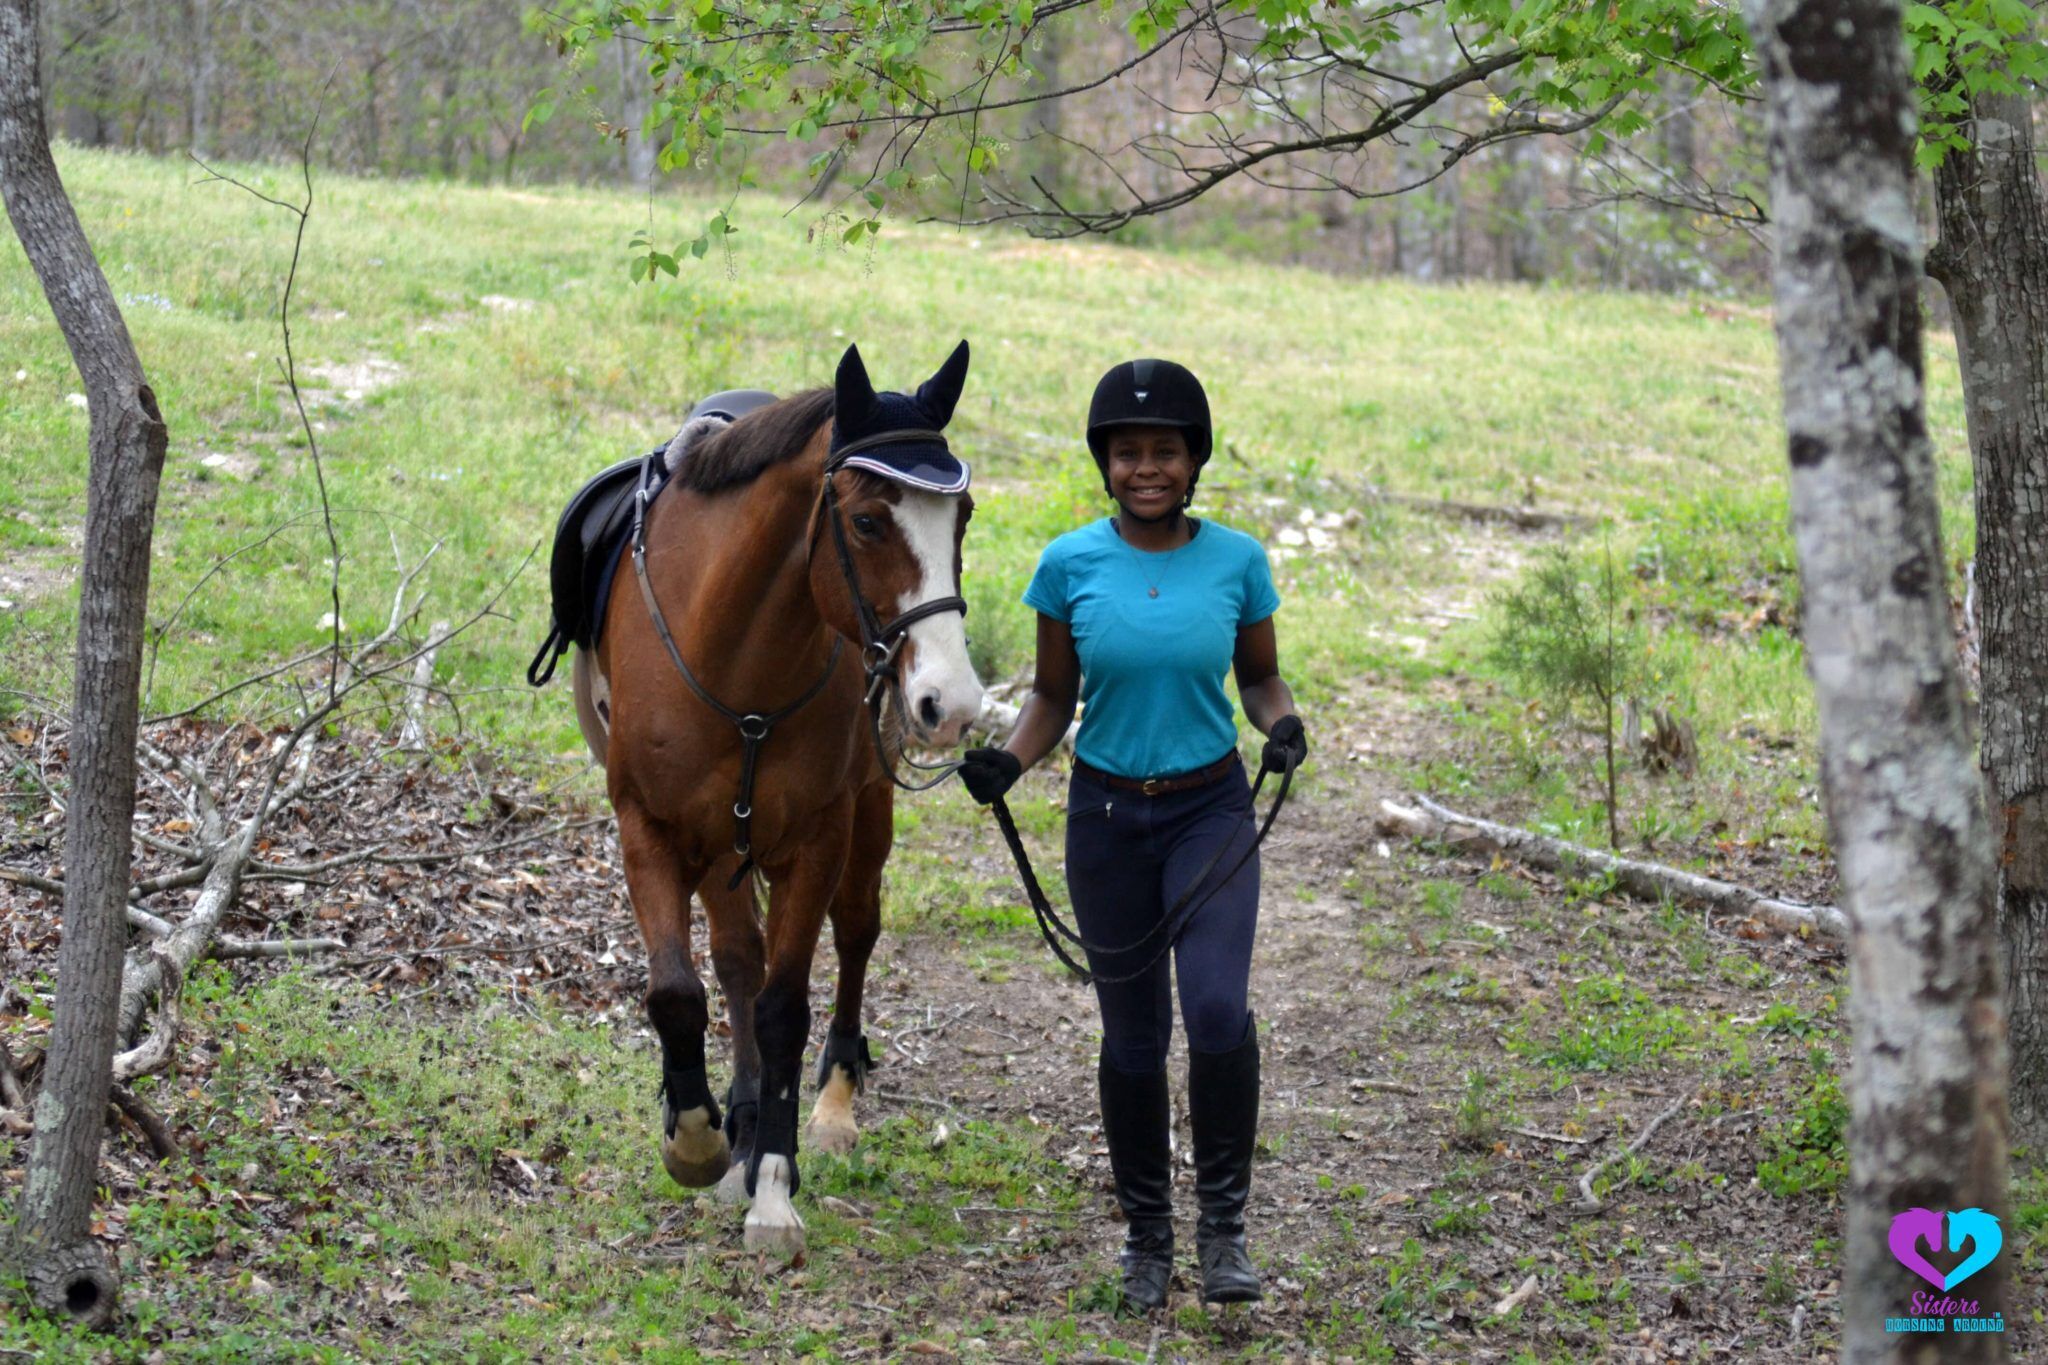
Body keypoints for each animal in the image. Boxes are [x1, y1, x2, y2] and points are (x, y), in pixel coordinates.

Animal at [569, 342, 984, 1257]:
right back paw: (741, 1121)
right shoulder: (650, 828)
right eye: (866, 521)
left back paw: (830, 1107)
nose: (950, 701)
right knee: (734, 961)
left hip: (866, 813)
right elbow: (681, 990)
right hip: (721, 843)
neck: (736, 653)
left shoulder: (818, 841)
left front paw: (773, 1184)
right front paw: (701, 1139)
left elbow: (785, 1007)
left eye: (963, 516)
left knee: (856, 932)